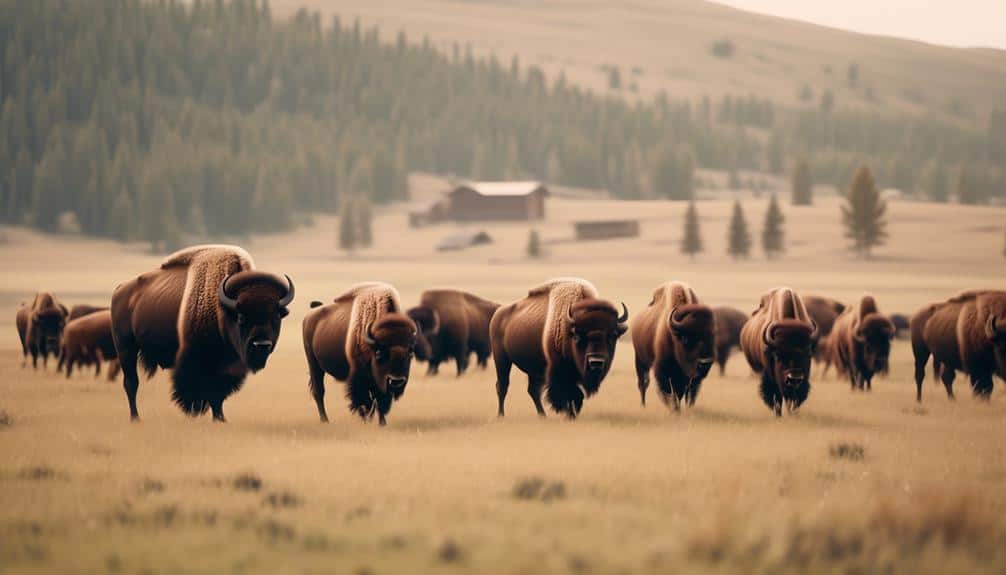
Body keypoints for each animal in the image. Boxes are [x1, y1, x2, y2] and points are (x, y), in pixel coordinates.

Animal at [111, 245, 294, 421]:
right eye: (241, 316)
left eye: (276, 316)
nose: (261, 345)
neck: (222, 310)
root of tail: (120, 290)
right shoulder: (198, 359)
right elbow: (202, 389)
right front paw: (200, 413)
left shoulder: (228, 366)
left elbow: (218, 393)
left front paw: (220, 418)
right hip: (125, 348)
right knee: (131, 383)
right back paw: (135, 418)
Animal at [303, 282, 418, 425]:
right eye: (379, 352)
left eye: (410, 352)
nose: (396, 381)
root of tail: (311, 314)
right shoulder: (360, 375)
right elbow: (364, 399)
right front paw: (366, 419)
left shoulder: (380, 383)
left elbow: (380, 400)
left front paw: (382, 423)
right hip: (313, 363)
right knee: (319, 391)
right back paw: (325, 420)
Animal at [490, 278, 628, 418]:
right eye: (578, 336)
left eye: (613, 335)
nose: (596, 362)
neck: (569, 329)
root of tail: (497, 314)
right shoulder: (559, 370)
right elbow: (567, 393)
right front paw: (569, 414)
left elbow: (575, 394)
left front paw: (572, 413)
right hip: (501, 360)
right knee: (502, 386)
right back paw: (501, 415)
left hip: (533, 369)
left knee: (533, 390)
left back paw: (543, 416)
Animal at [631, 282, 715, 410]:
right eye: (686, 338)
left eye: (712, 336)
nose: (705, 364)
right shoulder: (663, 370)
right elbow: (670, 392)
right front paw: (674, 409)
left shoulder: (691, 378)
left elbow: (686, 394)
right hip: (640, 360)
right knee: (643, 383)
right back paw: (643, 405)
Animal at [740, 287, 817, 416]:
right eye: (778, 355)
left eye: (808, 354)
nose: (794, 379)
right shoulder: (771, 379)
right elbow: (776, 397)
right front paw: (778, 414)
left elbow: (795, 400)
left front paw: (793, 414)